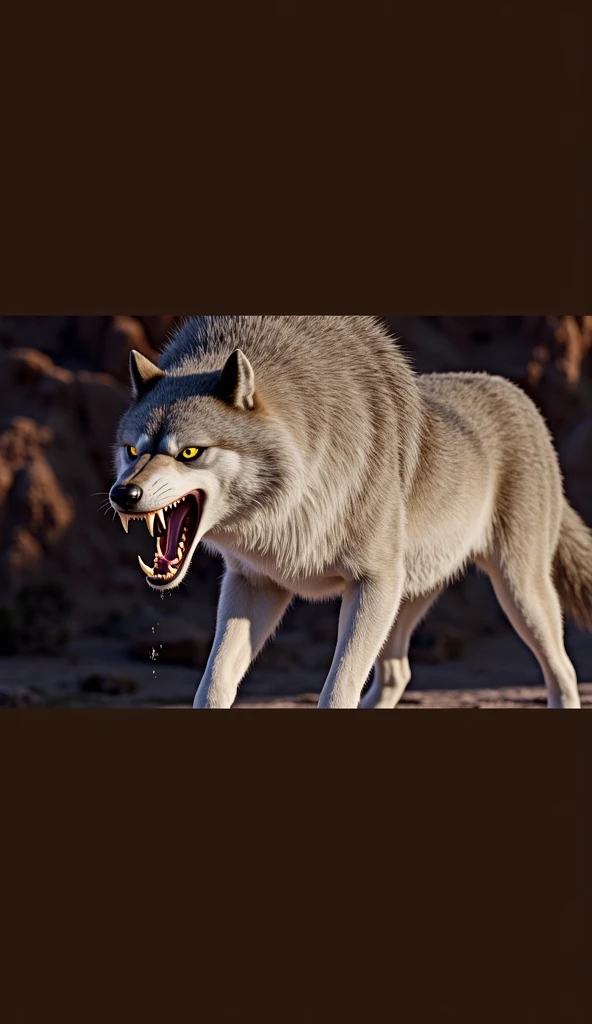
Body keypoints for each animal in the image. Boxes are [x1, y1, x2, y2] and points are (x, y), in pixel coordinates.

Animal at [109, 315, 592, 709]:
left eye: (189, 452)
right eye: (132, 450)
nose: (122, 494)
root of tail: (518, 395)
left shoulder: (372, 584)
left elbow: (337, 692)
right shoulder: (256, 583)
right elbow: (211, 688)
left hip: (517, 592)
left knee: (564, 671)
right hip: (408, 599)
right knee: (398, 673)